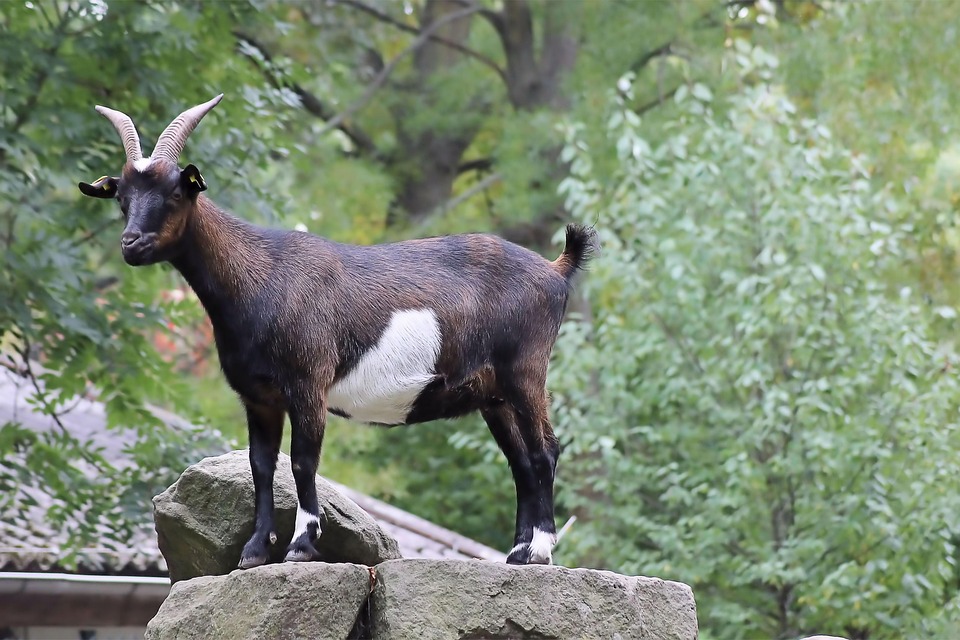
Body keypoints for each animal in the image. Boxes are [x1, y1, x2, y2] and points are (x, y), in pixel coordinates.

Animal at [78, 95, 597, 567]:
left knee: (545, 451)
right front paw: (253, 551)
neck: (261, 276)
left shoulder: (308, 383)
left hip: (525, 371)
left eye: (174, 193)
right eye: (122, 199)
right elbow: (261, 466)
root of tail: (555, 269)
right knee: (521, 462)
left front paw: (301, 546)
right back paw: (517, 553)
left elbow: (303, 461)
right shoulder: (258, 396)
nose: (131, 244)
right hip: (493, 395)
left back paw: (539, 552)